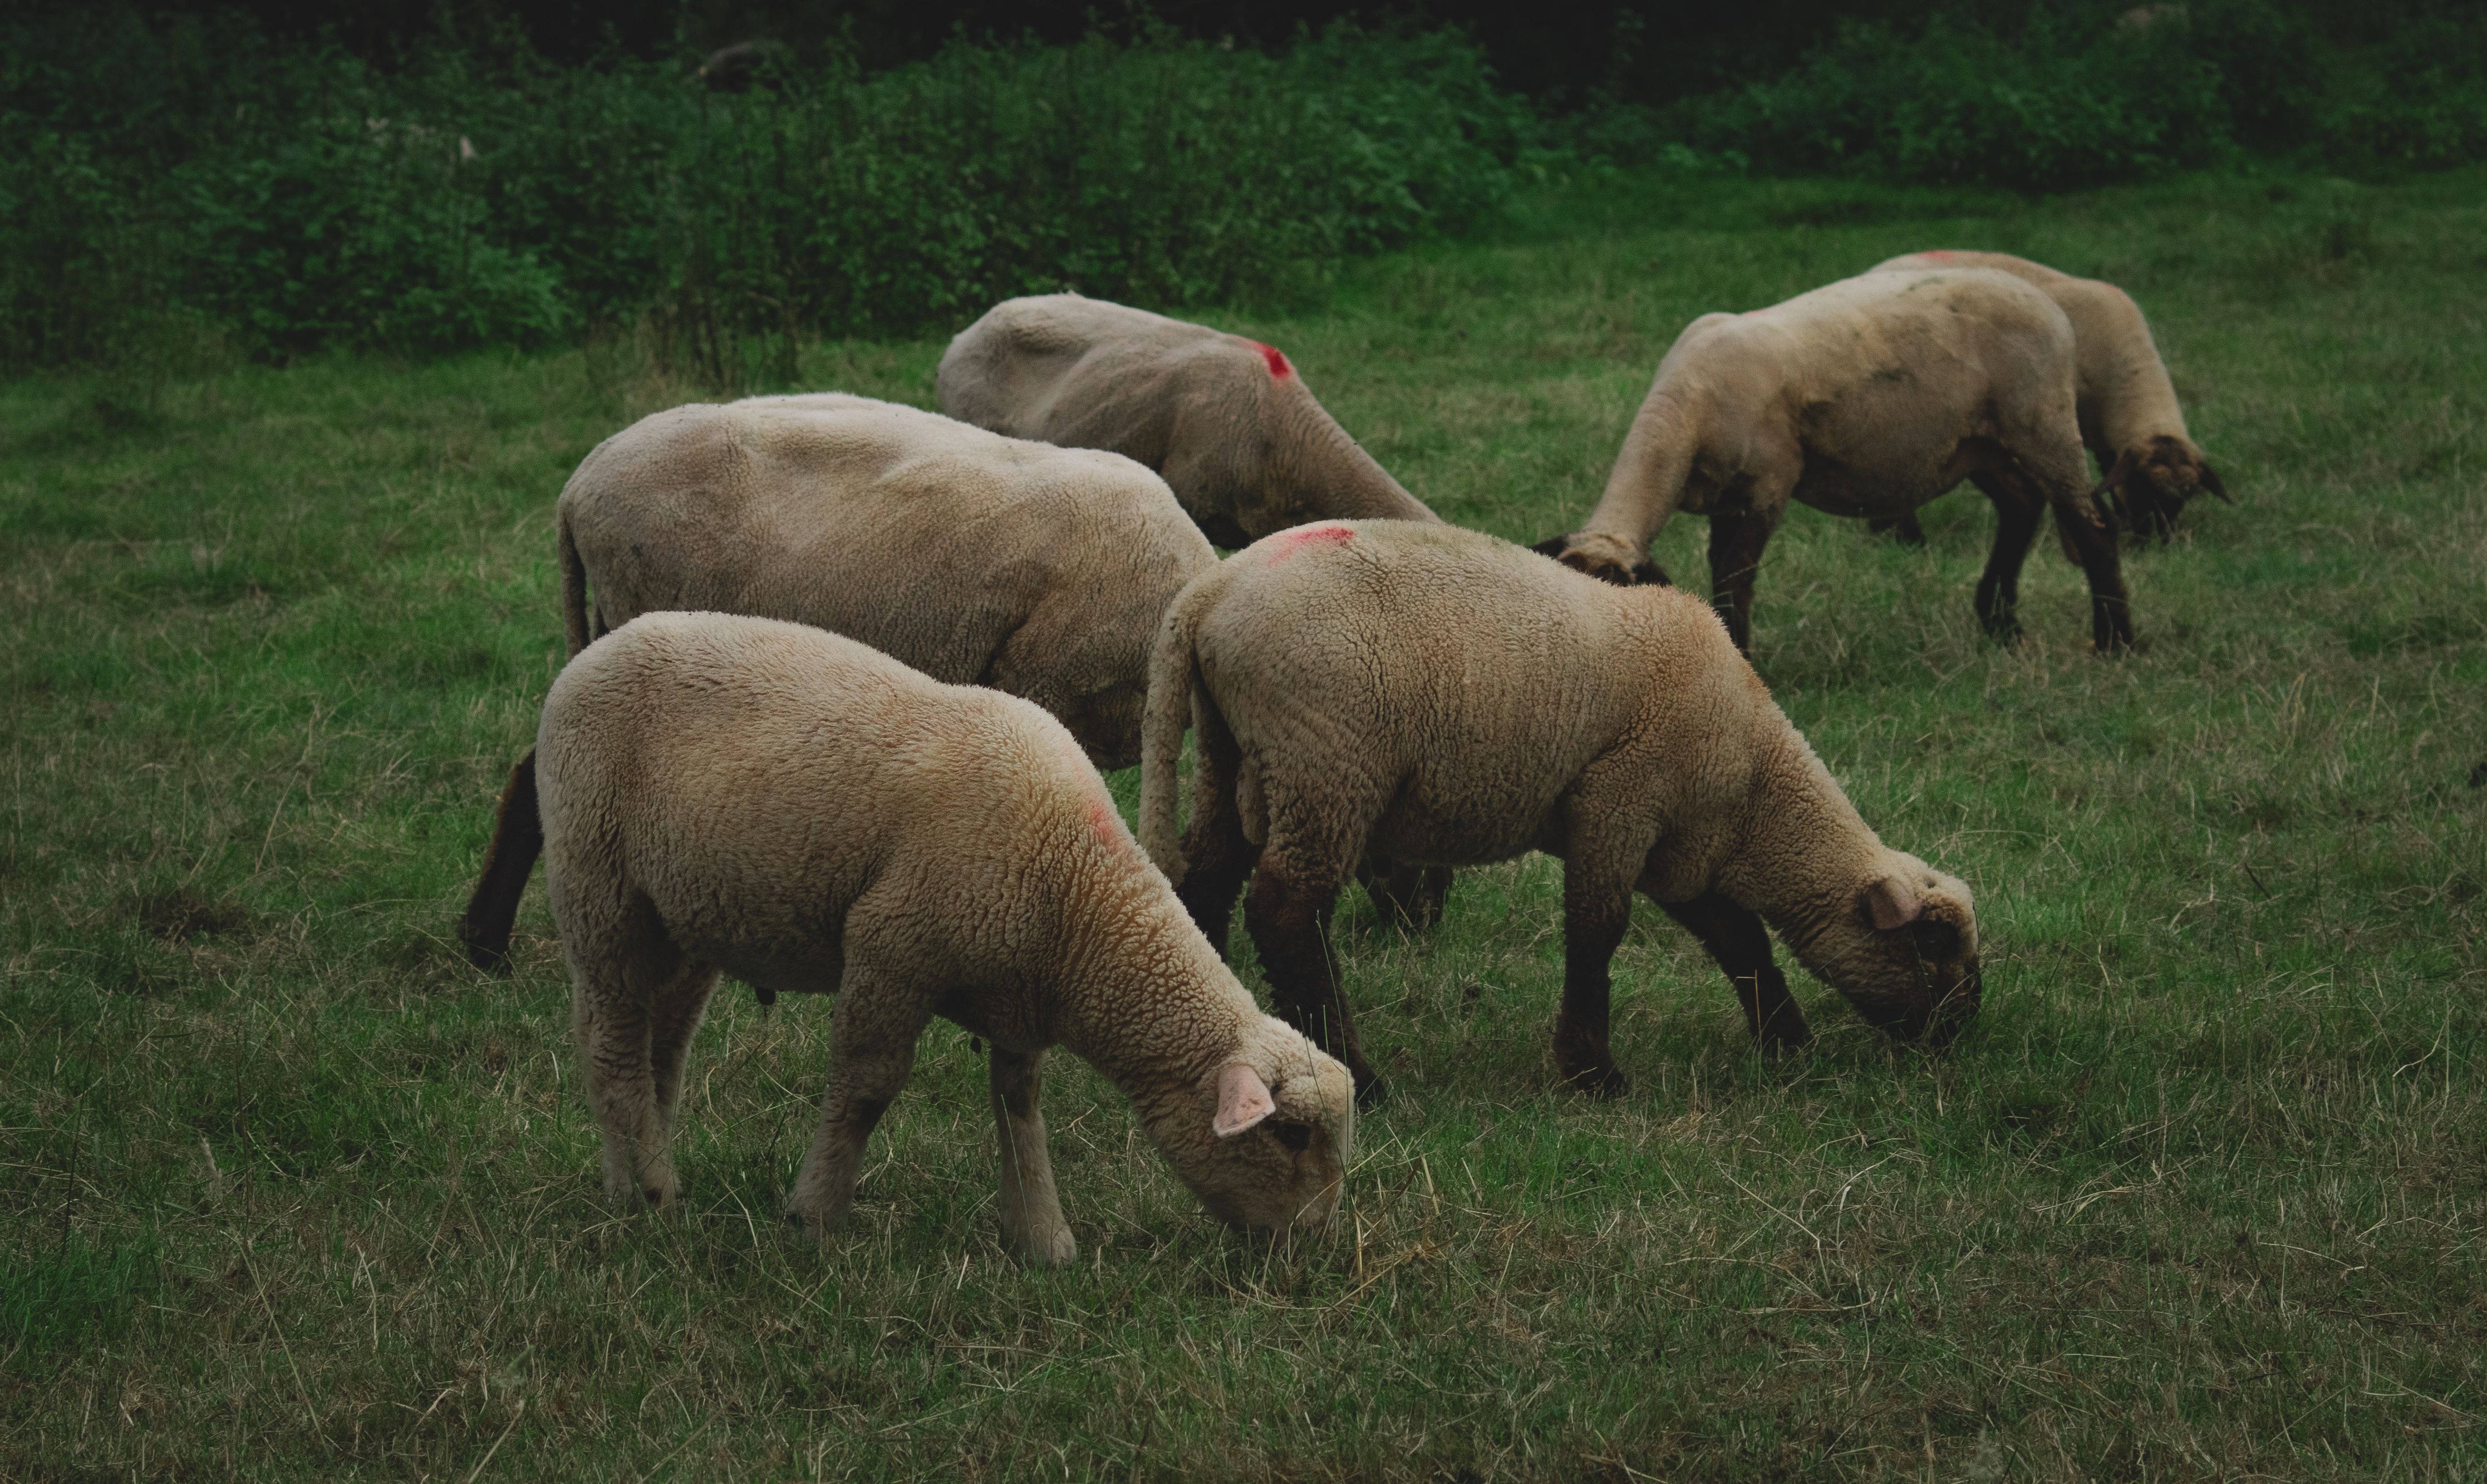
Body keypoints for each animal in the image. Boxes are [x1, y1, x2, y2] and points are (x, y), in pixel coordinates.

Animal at [470, 610, 1355, 1264]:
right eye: (1291, 1133)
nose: (1314, 1245)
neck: (1082, 900)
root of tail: (593, 653)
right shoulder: (892, 947)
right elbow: (866, 1092)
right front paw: (815, 1218)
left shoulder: (1016, 998)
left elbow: (1018, 1106)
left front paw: (1043, 1239)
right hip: (602, 885)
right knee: (613, 1046)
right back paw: (655, 1195)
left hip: (683, 918)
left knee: (658, 1046)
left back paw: (632, 1181)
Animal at [1139, 520, 1982, 1102]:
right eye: (1933, 943)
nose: (1963, 1033)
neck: (1757, 794)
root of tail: (1204, 599)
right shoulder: (1620, 801)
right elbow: (1597, 933)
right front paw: (1592, 1072)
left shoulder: (1679, 849)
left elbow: (1738, 938)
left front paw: (1787, 1041)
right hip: (1326, 760)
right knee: (1285, 911)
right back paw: (1365, 1079)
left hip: (1238, 756)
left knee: (1207, 880)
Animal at [1536, 267, 2138, 653]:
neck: (1681, 415)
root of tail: (2048, 303)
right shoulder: (1726, 496)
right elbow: (1720, 570)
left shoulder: (1767, 483)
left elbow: (1734, 575)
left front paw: (1742, 657)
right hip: (1979, 443)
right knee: (2021, 505)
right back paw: (2000, 626)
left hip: (2041, 420)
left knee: (2093, 526)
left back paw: (2116, 641)